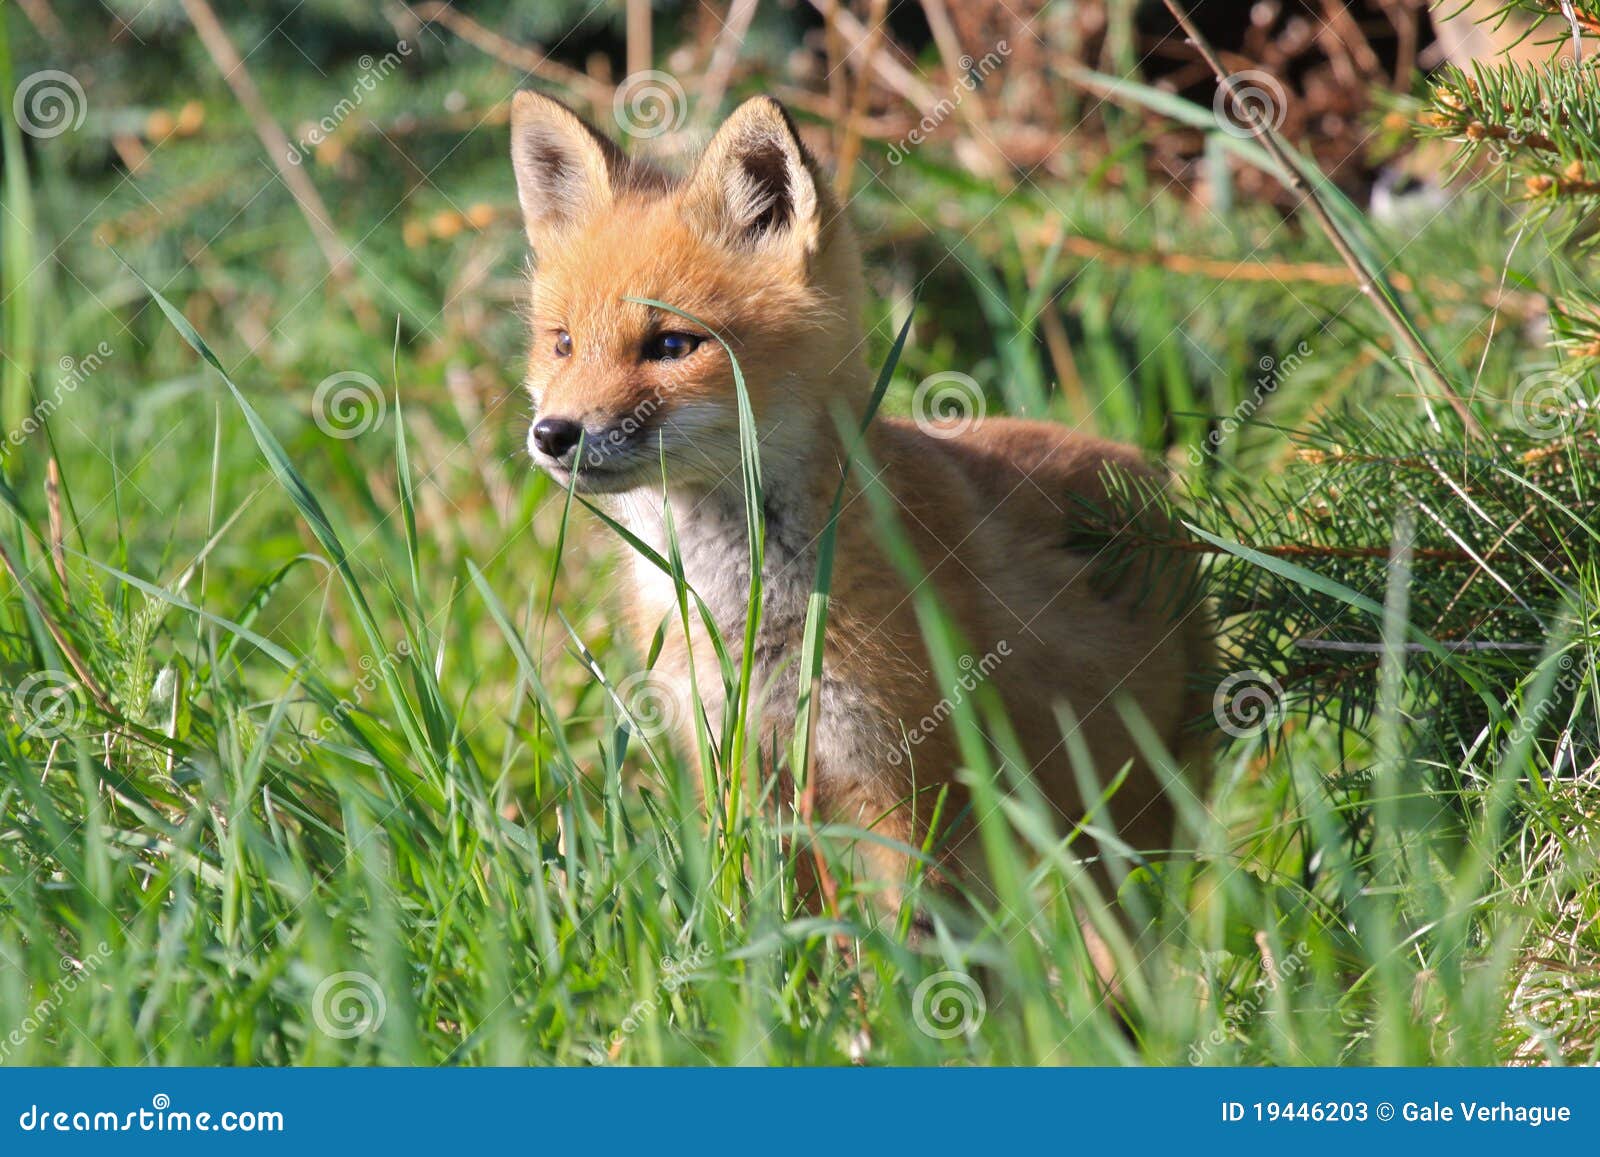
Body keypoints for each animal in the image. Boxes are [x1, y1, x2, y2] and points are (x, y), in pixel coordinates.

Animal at [510, 90, 1211, 920]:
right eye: (561, 343)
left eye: (674, 346)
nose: (554, 434)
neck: (750, 613)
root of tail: (1145, 477)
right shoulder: (745, 772)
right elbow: (778, 929)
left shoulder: (906, 782)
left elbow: (907, 936)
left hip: (1124, 836)